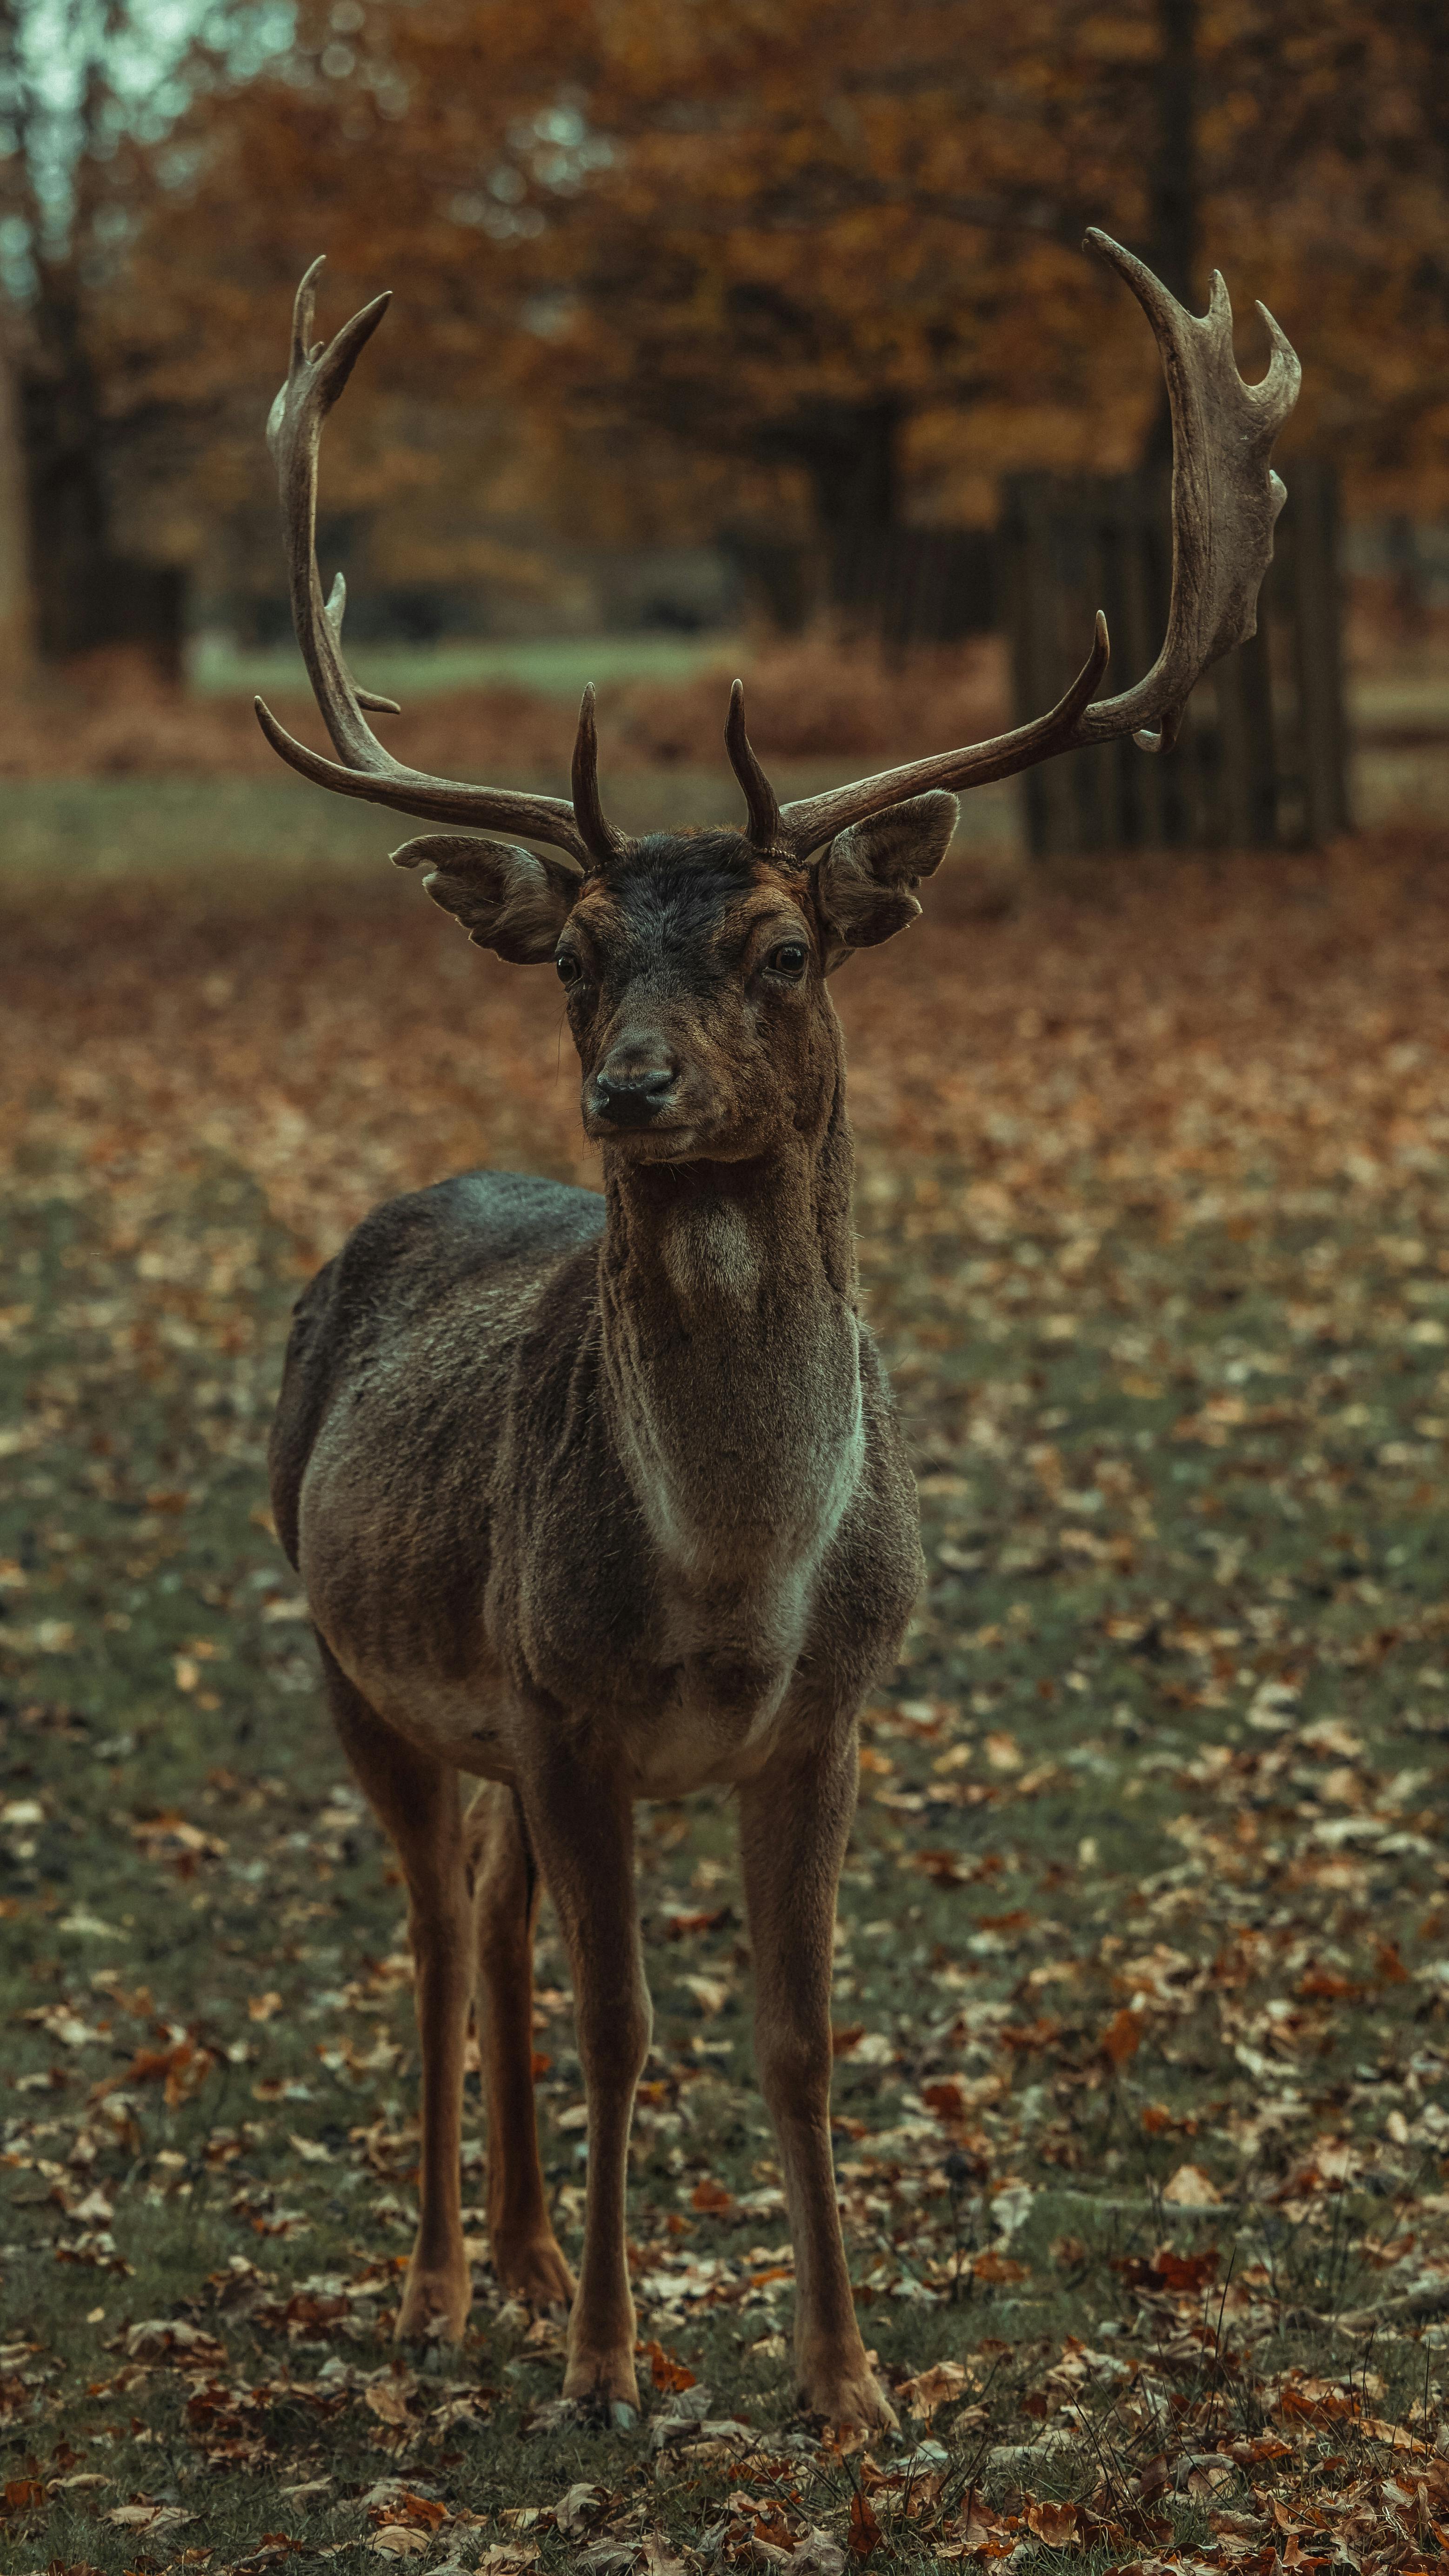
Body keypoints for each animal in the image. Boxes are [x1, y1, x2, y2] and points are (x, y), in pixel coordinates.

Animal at [259, 230, 1297, 2431]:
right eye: (572, 954)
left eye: (785, 945)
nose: (628, 1085)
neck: (732, 1582)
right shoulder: (561, 1697)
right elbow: (625, 2022)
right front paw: (606, 2368)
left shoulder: (829, 1713)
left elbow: (795, 2036)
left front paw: (844, 2381)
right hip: (353, 1648)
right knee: (431, 1930)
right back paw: (439, 2287)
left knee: (488, 1922)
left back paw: (519, 2254)